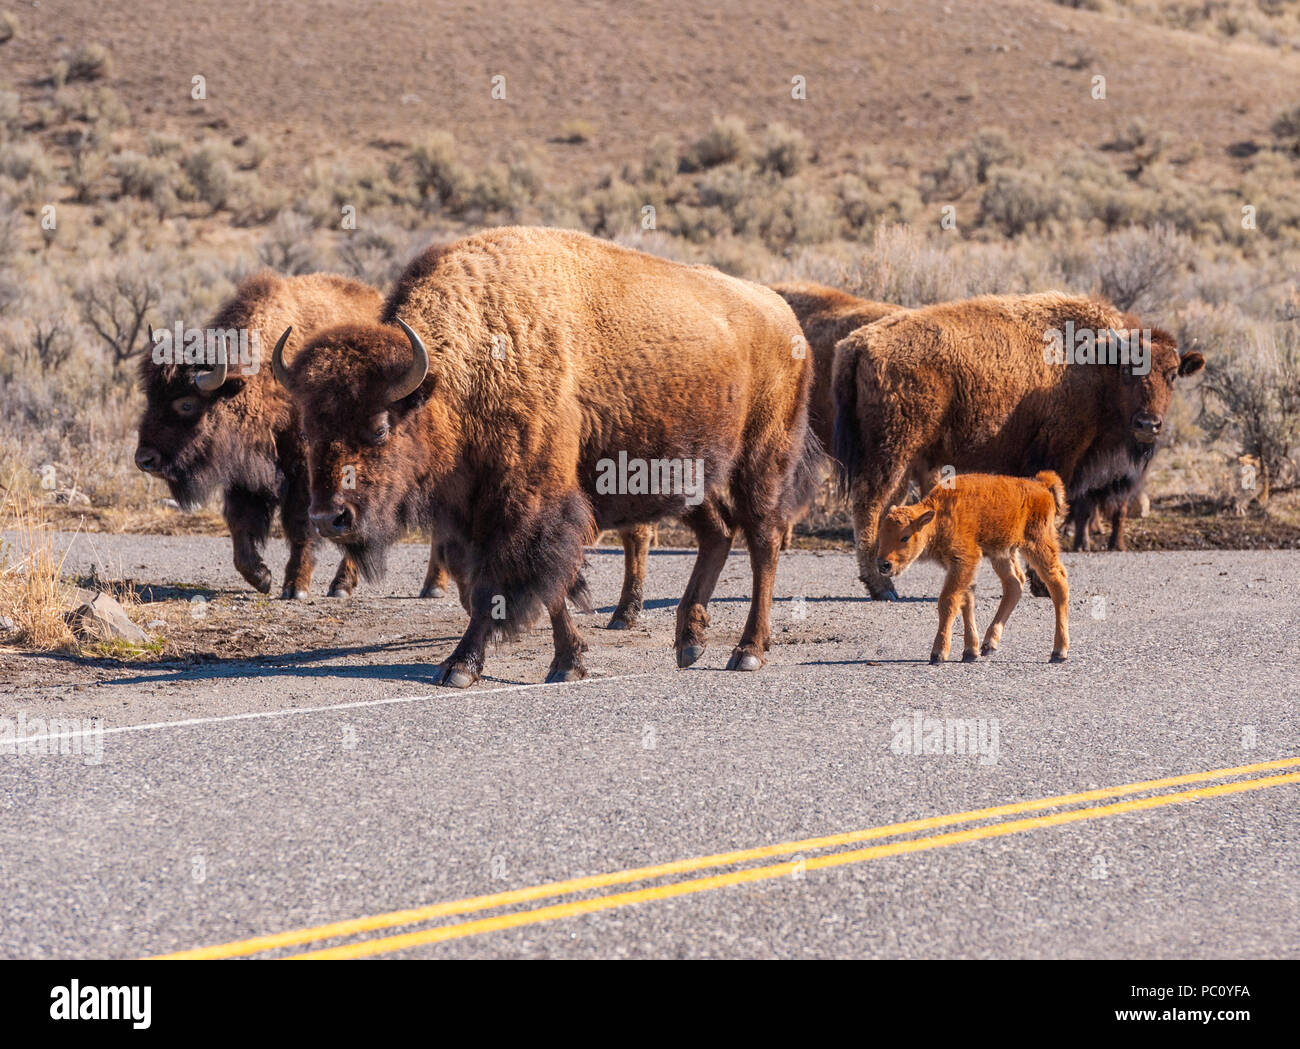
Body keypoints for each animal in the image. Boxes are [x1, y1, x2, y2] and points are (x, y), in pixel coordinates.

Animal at [134, 271, 448, 599]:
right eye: (150, 397)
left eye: (186, 403)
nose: (145, 459)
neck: (254, 381)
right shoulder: (244, 476)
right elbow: (239, 526)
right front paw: (261, 577)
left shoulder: (305, 476)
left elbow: (300, 527)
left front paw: (294, 587)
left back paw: (352, 586)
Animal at [272, 226, 821, 687]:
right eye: (309, 428)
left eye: (379, 427)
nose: (328, 518)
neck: (464, 369)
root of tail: (783, 314)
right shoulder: (475, 514)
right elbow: (510, 585)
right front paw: (562, 661)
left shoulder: (531, 505)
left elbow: (510, 581)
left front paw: (462, 666)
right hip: (686, 475)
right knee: (718, 534)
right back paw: (689, 642)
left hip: (760, 461)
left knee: (764, 543)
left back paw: (747, 651)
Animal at [832, 292, 1205, 600]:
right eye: (1129, 369)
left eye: (1172, 374)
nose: (1148, 425)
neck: (1096, 362)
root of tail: (857, 343)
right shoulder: (1062, 454)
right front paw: (1043, 584)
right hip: (893, 451)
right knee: (869, 506)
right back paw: (882, 586)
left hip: (905, 456)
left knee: (887, 507)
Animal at [876, 471, 1070, 663]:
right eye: (882, 534)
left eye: (905, 537)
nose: (883, 565)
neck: (939, 516)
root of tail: (1041, 486)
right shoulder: (961, 567)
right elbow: (966, 601)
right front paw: (970, 651)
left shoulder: (963, 561)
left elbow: (948, 601)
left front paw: (938, 653)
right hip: (1002, 554)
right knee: (1014, 584)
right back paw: (989, 644)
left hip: (1038, 544)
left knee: (1058, 583)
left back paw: (1059, 652)